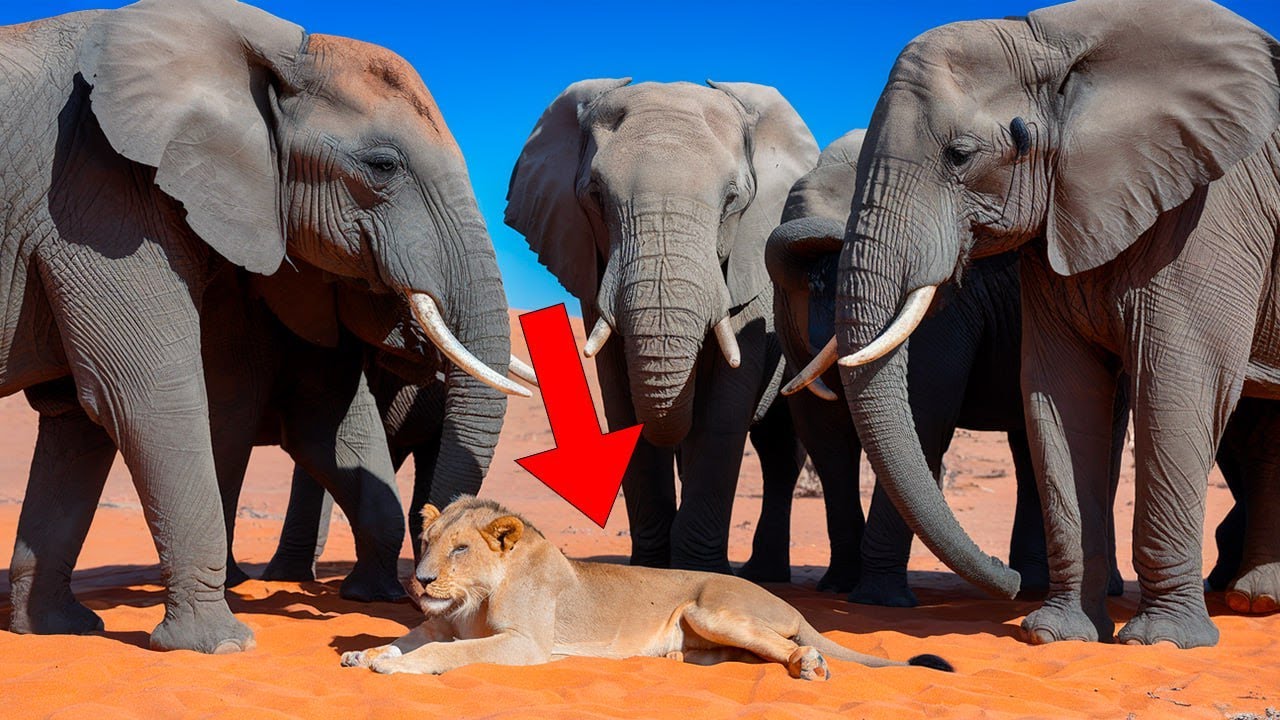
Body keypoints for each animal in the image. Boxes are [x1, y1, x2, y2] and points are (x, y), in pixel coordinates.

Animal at [0, 0, 525, 653]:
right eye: (382, 166)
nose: (428, 588)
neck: (269, 48)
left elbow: (80, 415)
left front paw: (56, 631)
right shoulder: (98, 200)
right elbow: (149, 400)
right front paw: (222, 643)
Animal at [341, 497, 952, 679]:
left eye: (460, 549)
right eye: (426, 542)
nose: (421, 579)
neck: (468, 600)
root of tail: (791, 606)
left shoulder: (526, 643)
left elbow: (455, 653)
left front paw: (394, 666)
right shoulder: (435, 622)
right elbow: (411, 638)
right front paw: (366, 652)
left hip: (708, 610)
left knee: (787, 646)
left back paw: (809, 665)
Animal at [506, 80, 817, 572]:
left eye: (733, 200)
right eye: (595, 195)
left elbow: (723, 412)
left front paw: (697, 570)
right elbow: (622, 402)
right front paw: (653, 570)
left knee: (780, 451)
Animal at [751, 129, 1124, 605]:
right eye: (812, 282)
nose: (1000, 571)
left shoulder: (948, 307)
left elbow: (925, 412)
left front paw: (878, 600)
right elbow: (824, 431)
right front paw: (840, 587)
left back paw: (1083, 589)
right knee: (1028, 443)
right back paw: (1033, 584)